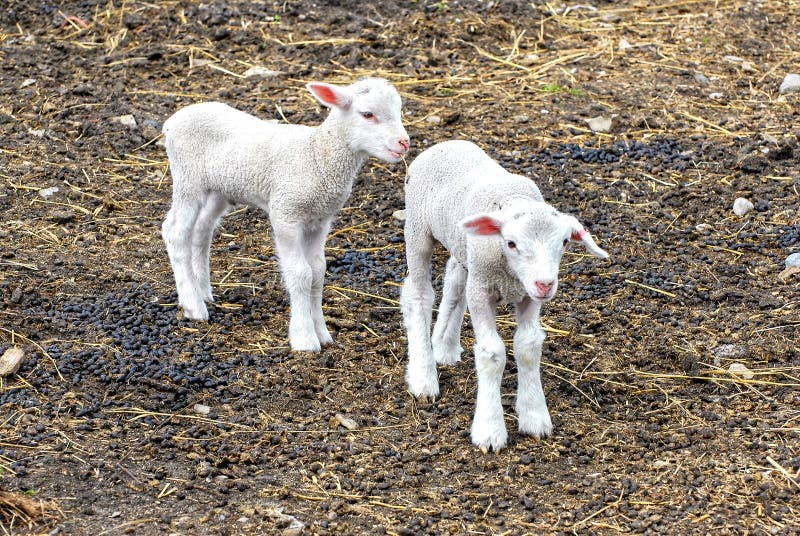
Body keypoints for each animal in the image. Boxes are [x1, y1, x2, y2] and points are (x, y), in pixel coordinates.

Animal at [161, 78, 410, 352]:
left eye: (399, 110)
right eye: (367, 114)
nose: (404, 143)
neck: (317, 156)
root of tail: (174, 120)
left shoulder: (320, 220)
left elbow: (318, 272)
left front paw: (322, 331)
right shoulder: (286, 213)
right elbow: (301, 274)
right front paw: (305, 339)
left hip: (219, 188)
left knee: (201, 231)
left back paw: (203, 291)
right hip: (188, 178)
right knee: (175, 232)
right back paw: (192, 304)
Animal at [400, 140, 609, 451]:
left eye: (563, 242)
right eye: (510, 243)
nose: (545, 284)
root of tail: (446, 143)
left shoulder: (527, 295)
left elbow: (528, 346)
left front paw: (534, 417)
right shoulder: (482, 290)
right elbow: (492, 353)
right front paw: (489, 430)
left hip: (463, 250)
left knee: (454, 281)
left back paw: (444, 346)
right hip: (417, 232)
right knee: (419, 296)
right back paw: (424, 377)